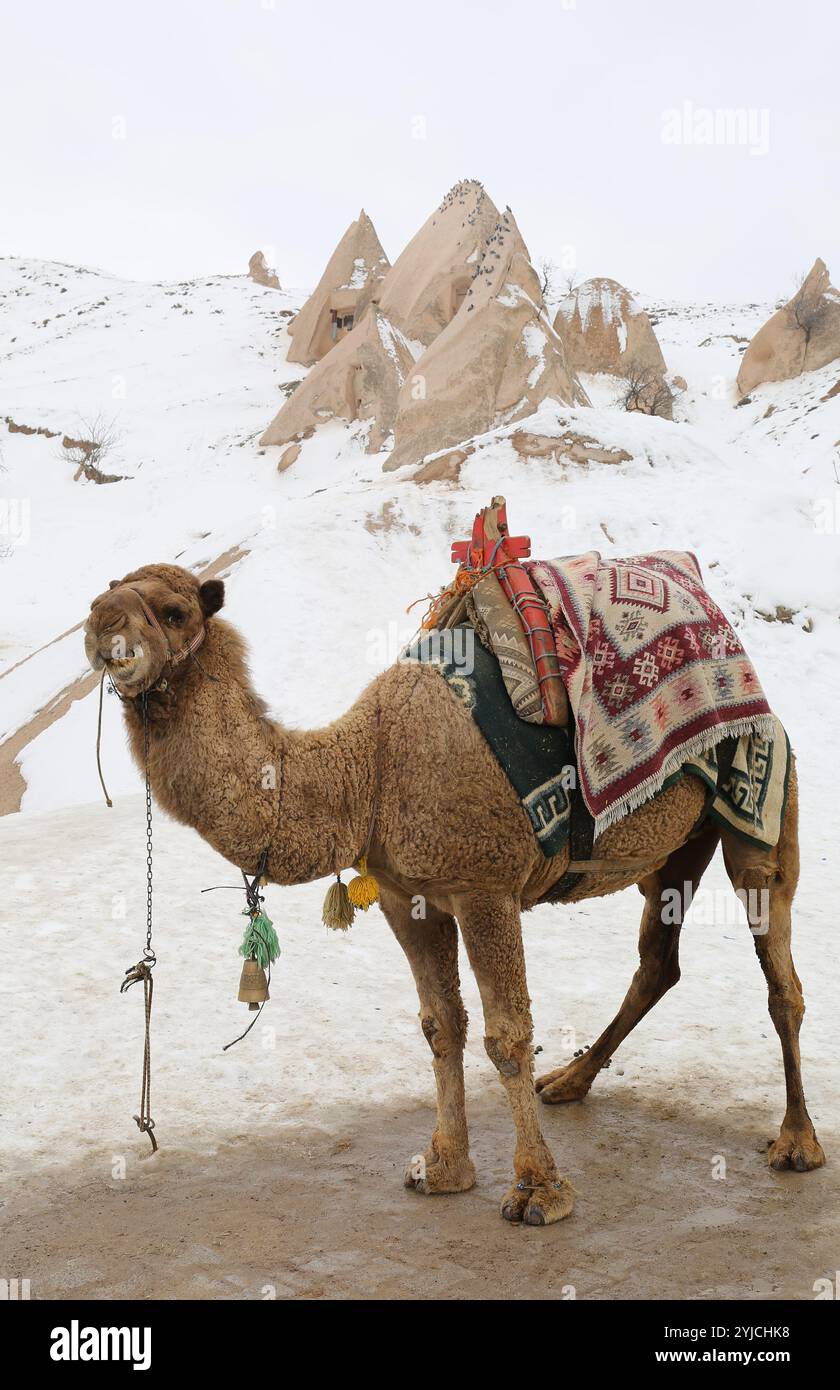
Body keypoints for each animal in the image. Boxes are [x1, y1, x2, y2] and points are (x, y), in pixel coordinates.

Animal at [84, 562, 825, 1227]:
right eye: (105, 593)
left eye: (174, 611)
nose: (100, 623)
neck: (370, 769)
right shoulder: (405, 898)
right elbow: (441, 1025)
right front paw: (443, 1167)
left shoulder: (483, 887)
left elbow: (507, 1034)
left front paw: (538, 1191)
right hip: (672, 851)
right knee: (658, 962)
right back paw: (571, 1081)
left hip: (762, 801)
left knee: (779, 973)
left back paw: (797, 1141)